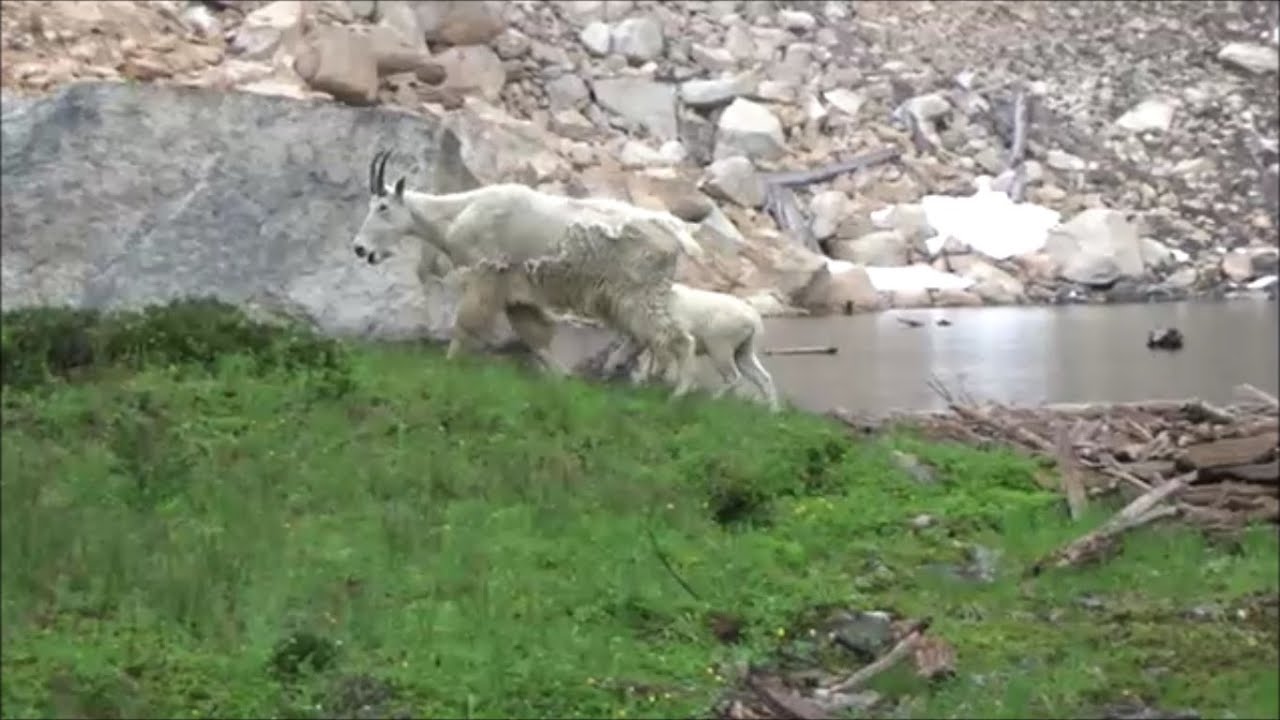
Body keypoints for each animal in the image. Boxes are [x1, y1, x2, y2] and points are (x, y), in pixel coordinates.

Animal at [352, 150, 703, 388]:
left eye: (382, 207)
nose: (360, 249)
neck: (458, 214)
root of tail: (676, 232)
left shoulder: (486, 274)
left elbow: (466, 324)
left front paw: (447, 366)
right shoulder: (516, 291)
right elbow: (535, 336)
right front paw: (562, 378)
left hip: (639, 292)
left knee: (676, 337)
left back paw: (677, 391)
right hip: (623, 296)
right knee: (643, 336)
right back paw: (617, 370)